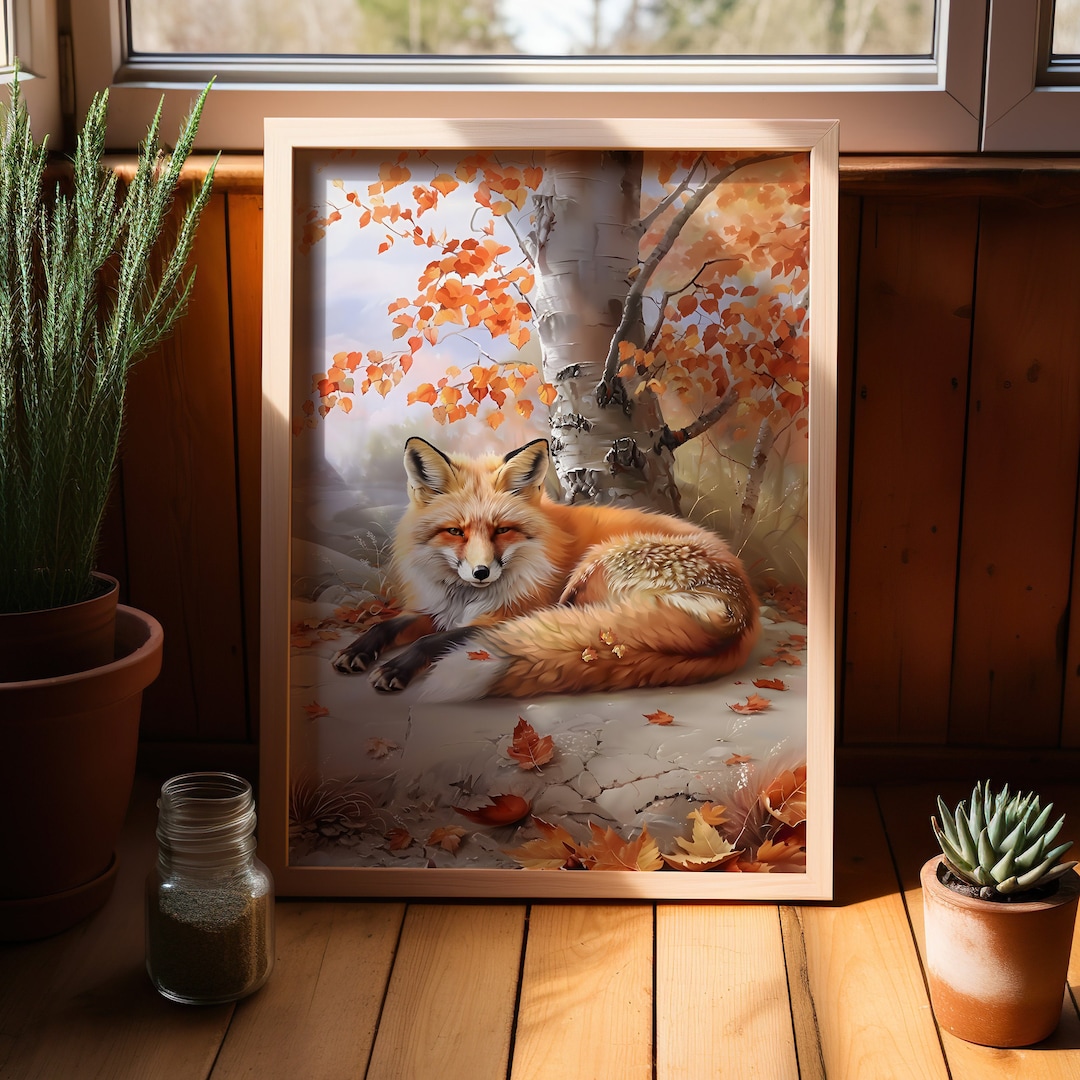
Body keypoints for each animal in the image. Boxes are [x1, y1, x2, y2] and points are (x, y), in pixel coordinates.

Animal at [330, 437, 760, 701]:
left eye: (502, 530)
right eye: (455, 531)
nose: (481, 573)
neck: (466, 597)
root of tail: (739, 613)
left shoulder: (509, 614)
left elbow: (432, 641)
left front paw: (394, 668)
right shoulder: (439, 609)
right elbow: (389, 625)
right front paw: (356, 650)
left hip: (592, 568)